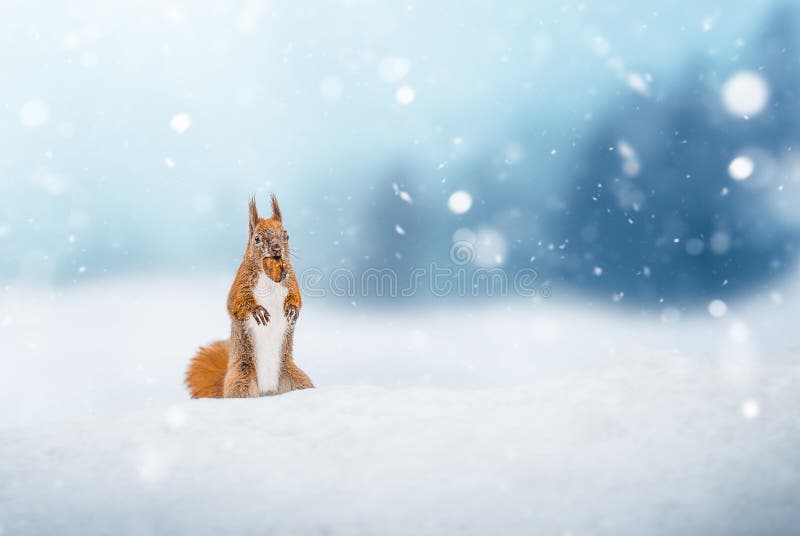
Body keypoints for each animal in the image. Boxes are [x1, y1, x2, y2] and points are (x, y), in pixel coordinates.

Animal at [185, 195, 313, 398]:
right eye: (257, 238)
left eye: (286, 235)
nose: (277, 248)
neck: (269, 276)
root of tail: (267, 391)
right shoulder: (241, 283)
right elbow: (235, 302)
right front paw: (257, 310)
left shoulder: (291, 280)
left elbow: (296, 296)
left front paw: (292, 309)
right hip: (242, 379)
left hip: (294, 380)